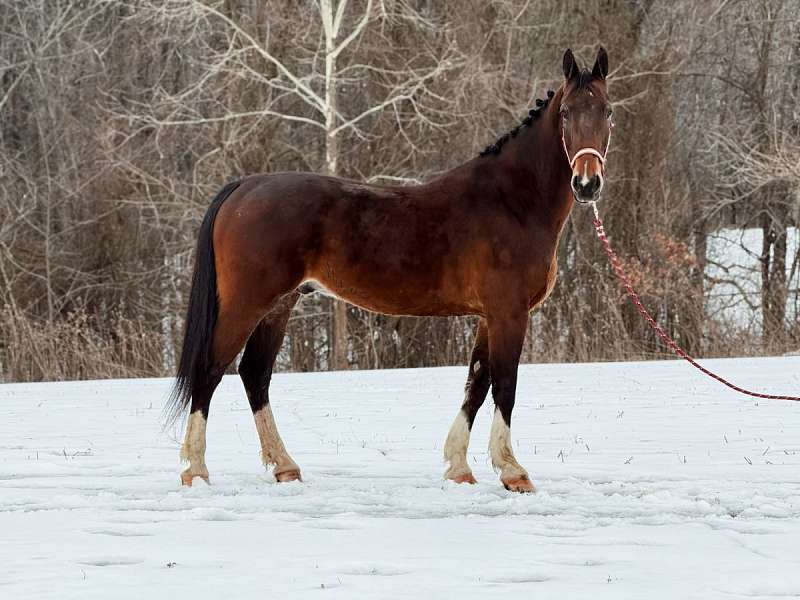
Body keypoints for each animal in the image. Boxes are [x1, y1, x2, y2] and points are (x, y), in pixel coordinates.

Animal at [168, 47, 613, 493]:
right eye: (567, 113)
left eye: (607, 111)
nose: (586, 183)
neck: (511, 201)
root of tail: (245, 186)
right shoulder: (509, 313)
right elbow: (504, 386)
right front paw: (513, 472)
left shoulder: (488, 316)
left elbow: (477, 383)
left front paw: (459, 467)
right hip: (247, 304)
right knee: (210, 371)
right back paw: (196, 470)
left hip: (280, 305)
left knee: (255, 374)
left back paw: (285, 466)